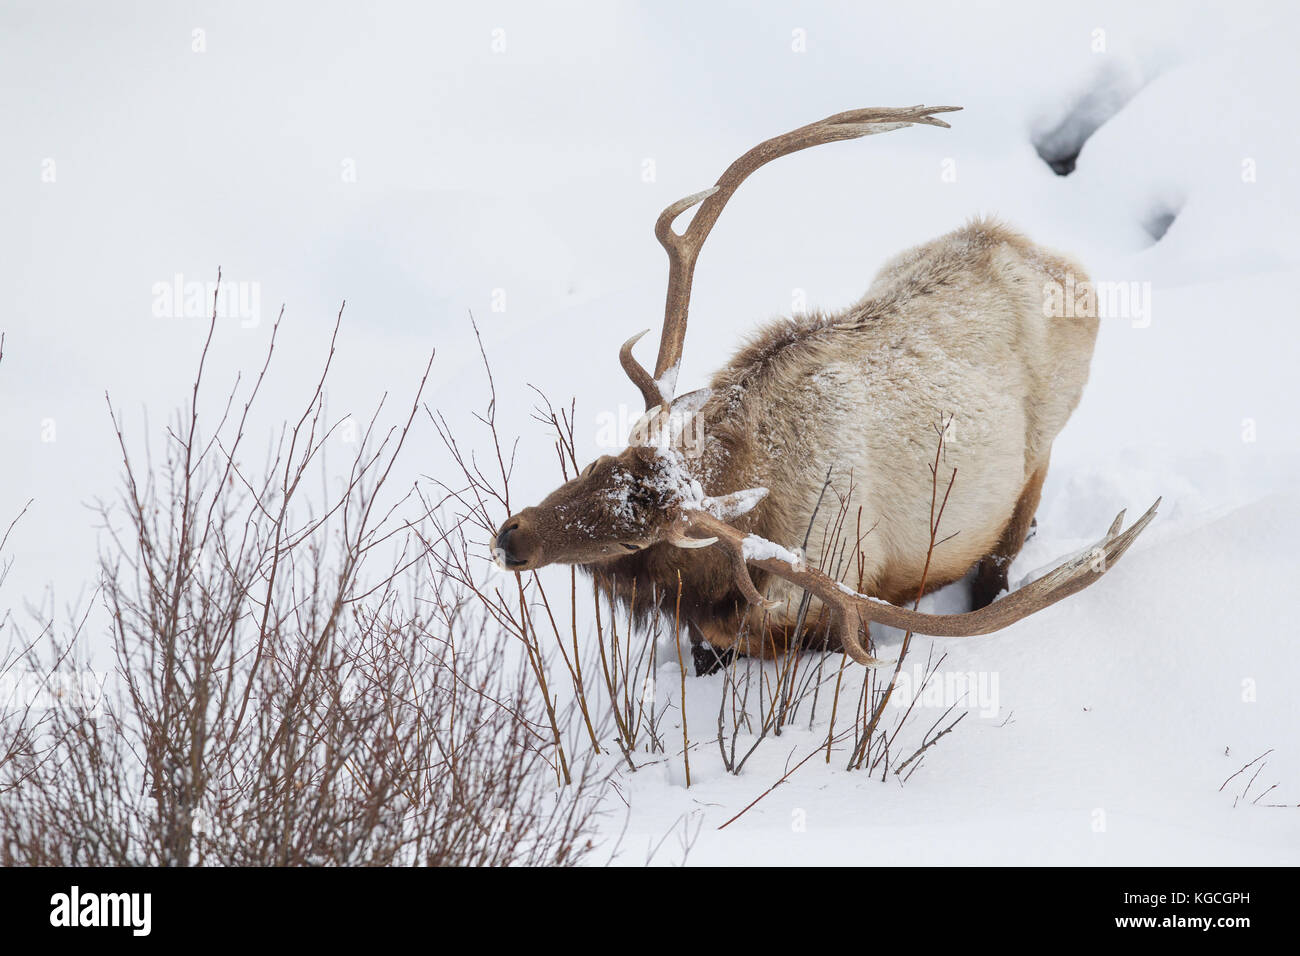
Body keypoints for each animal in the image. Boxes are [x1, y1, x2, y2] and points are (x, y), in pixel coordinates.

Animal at [493, 106, 1159, 675]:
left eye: (634, 537)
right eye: (596, 465)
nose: (512, 537)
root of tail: (1051, 258)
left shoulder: (836, 614)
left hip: (1033, 466)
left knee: (997, 565)